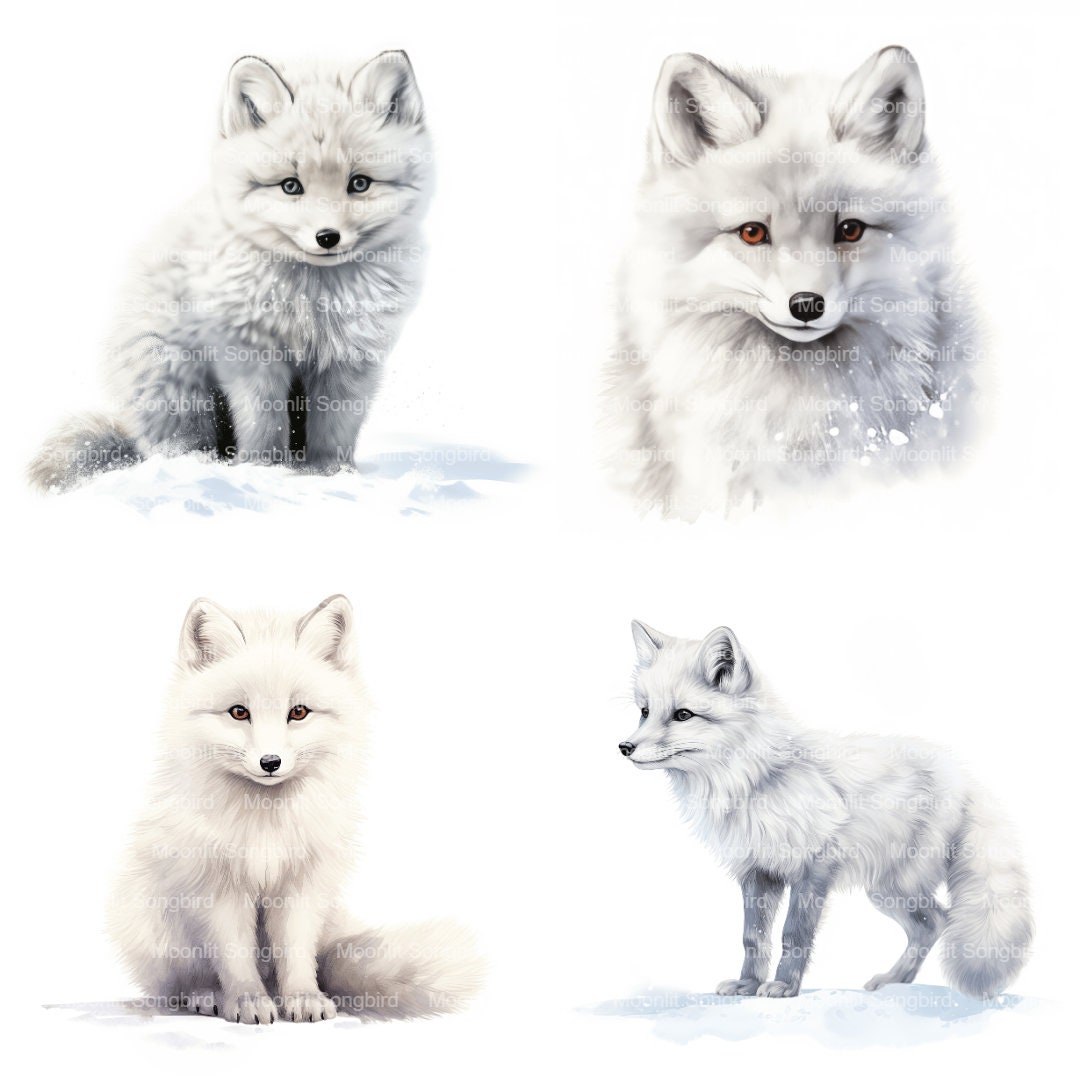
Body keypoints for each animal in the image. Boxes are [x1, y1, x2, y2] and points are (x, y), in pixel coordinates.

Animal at [30, 52, 431, 492]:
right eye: (290, 186)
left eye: (359, 184)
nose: (327, 237)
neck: (312, 306)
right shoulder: (249, 354)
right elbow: (263, 424)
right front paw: (264, 471)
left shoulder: (351, 359)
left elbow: (335, 429)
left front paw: (332, 475)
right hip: (178, 385)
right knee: (182, 445)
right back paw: (200, 468)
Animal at [108, 595, 482, 1024]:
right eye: (239, 712)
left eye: (298, 712)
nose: (270, 762)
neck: (267, 823)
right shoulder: (219, 887)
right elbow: (234, 958)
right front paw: (248, 1001)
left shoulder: (302, 885)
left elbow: (298, 953)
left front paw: (303, 998)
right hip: (158, 929)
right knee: (180, 983)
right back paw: (208, 995)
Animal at [618, 620, 1032, 999]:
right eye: (644, 712)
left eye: (683, 715)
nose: (625, 747)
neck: (755, 780)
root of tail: (962, 775)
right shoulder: (757, 871)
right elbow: (753, 938)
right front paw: (748, 985)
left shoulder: (814, 867)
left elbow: (794, 934)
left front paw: (784, 986)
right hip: (885, 890)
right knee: (933, 924)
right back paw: (893, 981)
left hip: (896, 885)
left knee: (940, 920)